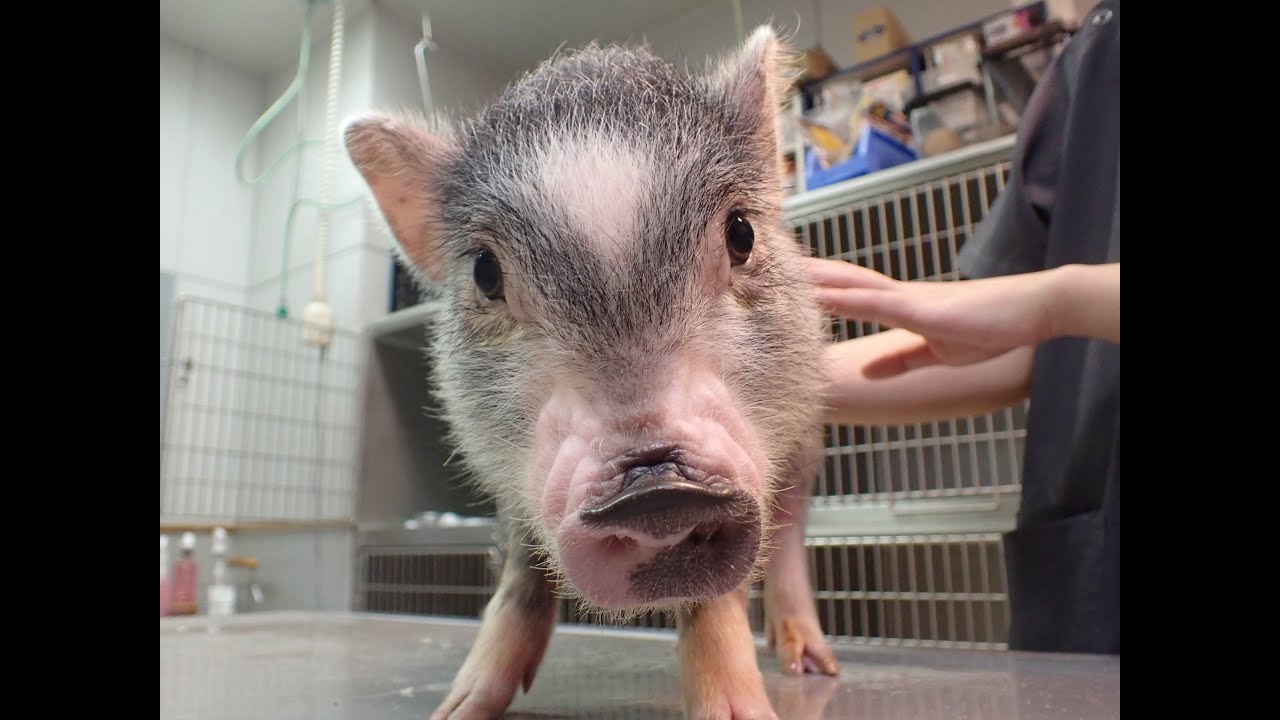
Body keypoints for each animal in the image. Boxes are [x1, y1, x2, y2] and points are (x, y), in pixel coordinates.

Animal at [344, 25, 838, 720]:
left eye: (740, 233)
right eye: (485, 273)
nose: (658, 488)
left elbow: (714, 598)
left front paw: (741, 710)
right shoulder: (514, 487)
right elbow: (520, 581)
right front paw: (459, 707)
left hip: (804, 440)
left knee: (790, 533)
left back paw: (811, 664)